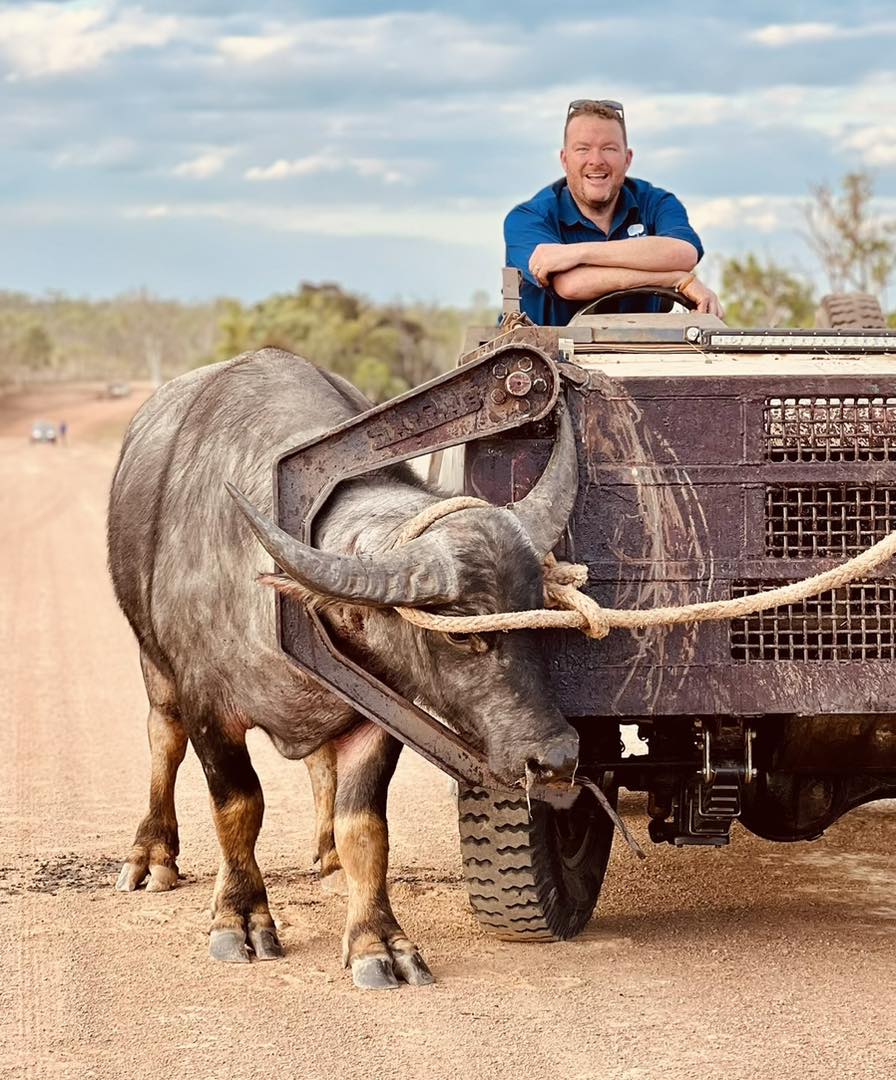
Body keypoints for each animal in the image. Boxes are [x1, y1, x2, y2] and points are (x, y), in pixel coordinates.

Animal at [108, 348, 578, 989]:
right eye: (462, 634)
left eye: (539, 614)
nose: (554, 758)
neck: (281, 600)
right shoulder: (209, 706)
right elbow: (240, 806)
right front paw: (240, 917)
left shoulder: (379, 712)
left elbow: (366, 827)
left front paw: (377, 941)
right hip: (152, 662)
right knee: (163, 737)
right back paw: (152, 854)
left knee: (321, 765)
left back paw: (327, 853)